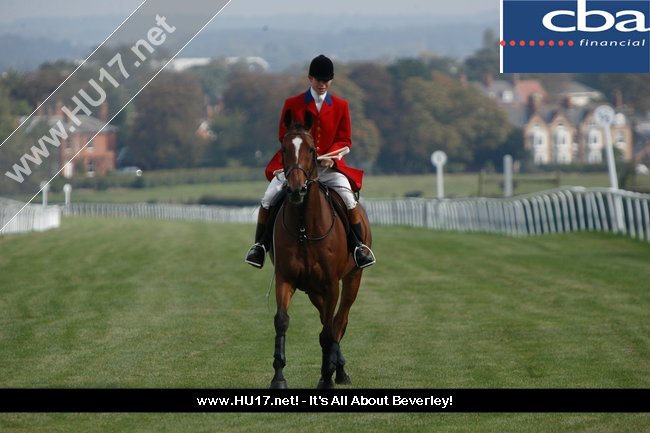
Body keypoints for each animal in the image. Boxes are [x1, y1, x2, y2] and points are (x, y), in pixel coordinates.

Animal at [267, 109, 372, 389]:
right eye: (283, 149)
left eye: (312, 150)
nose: (296, 189)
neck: (305, 227)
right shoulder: (285, 278)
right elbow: (282, 321)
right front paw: (278, 377)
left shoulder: (331, 283)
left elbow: (328, 330)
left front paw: (326, 377)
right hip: (313, 289)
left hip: (352, 279)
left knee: (339, 320)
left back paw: (339, 371)